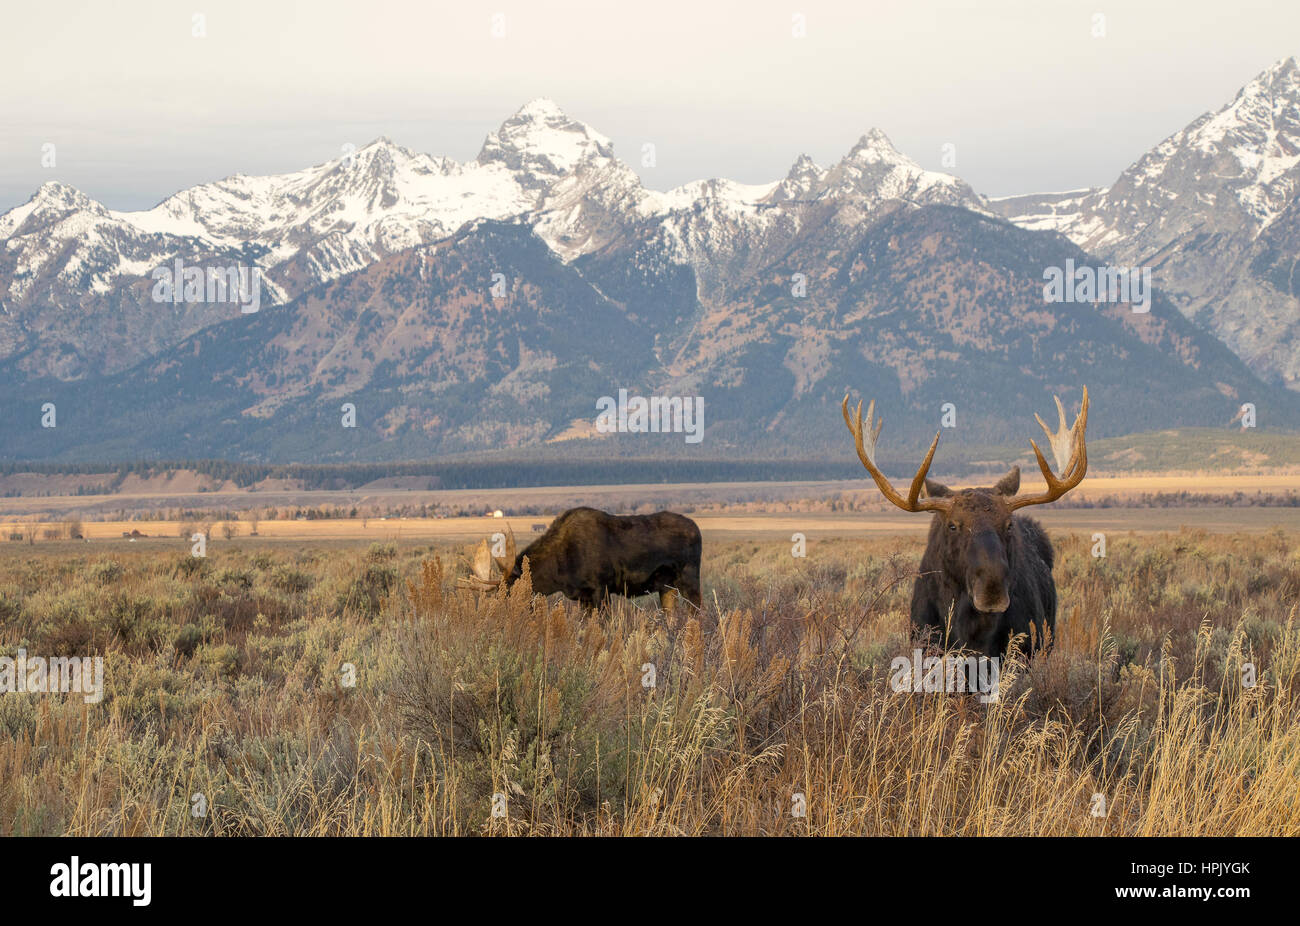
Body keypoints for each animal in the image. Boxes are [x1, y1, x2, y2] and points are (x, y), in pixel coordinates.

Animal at [461, 507, 702, 617]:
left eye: (510, 591)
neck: (558, 572)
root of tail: (697, 530)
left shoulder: (600, 588)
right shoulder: (583, 597)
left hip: (690, 578)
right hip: (666, 586)